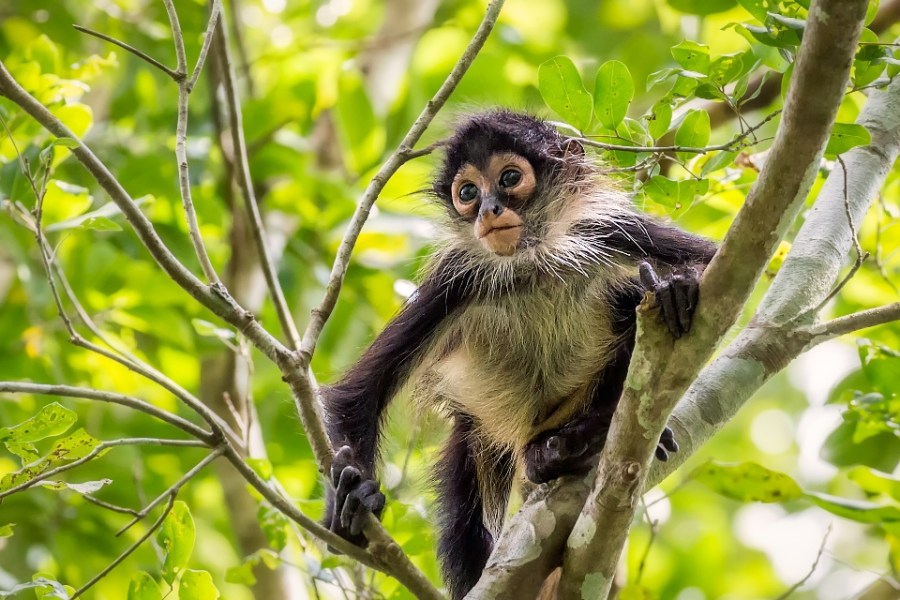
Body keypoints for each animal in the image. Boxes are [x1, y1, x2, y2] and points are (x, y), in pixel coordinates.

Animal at [321, 110, 716, 599]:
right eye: (468, 193)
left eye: (509, 178)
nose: (489, 209)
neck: (531, 264)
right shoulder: (456, 281)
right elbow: (359, 392)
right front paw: (352, 505)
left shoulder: (606, 230)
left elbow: (720, 263)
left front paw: (677, 286)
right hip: (478, 431)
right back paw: (556, 455)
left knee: (627, 298)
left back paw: (576, 440)